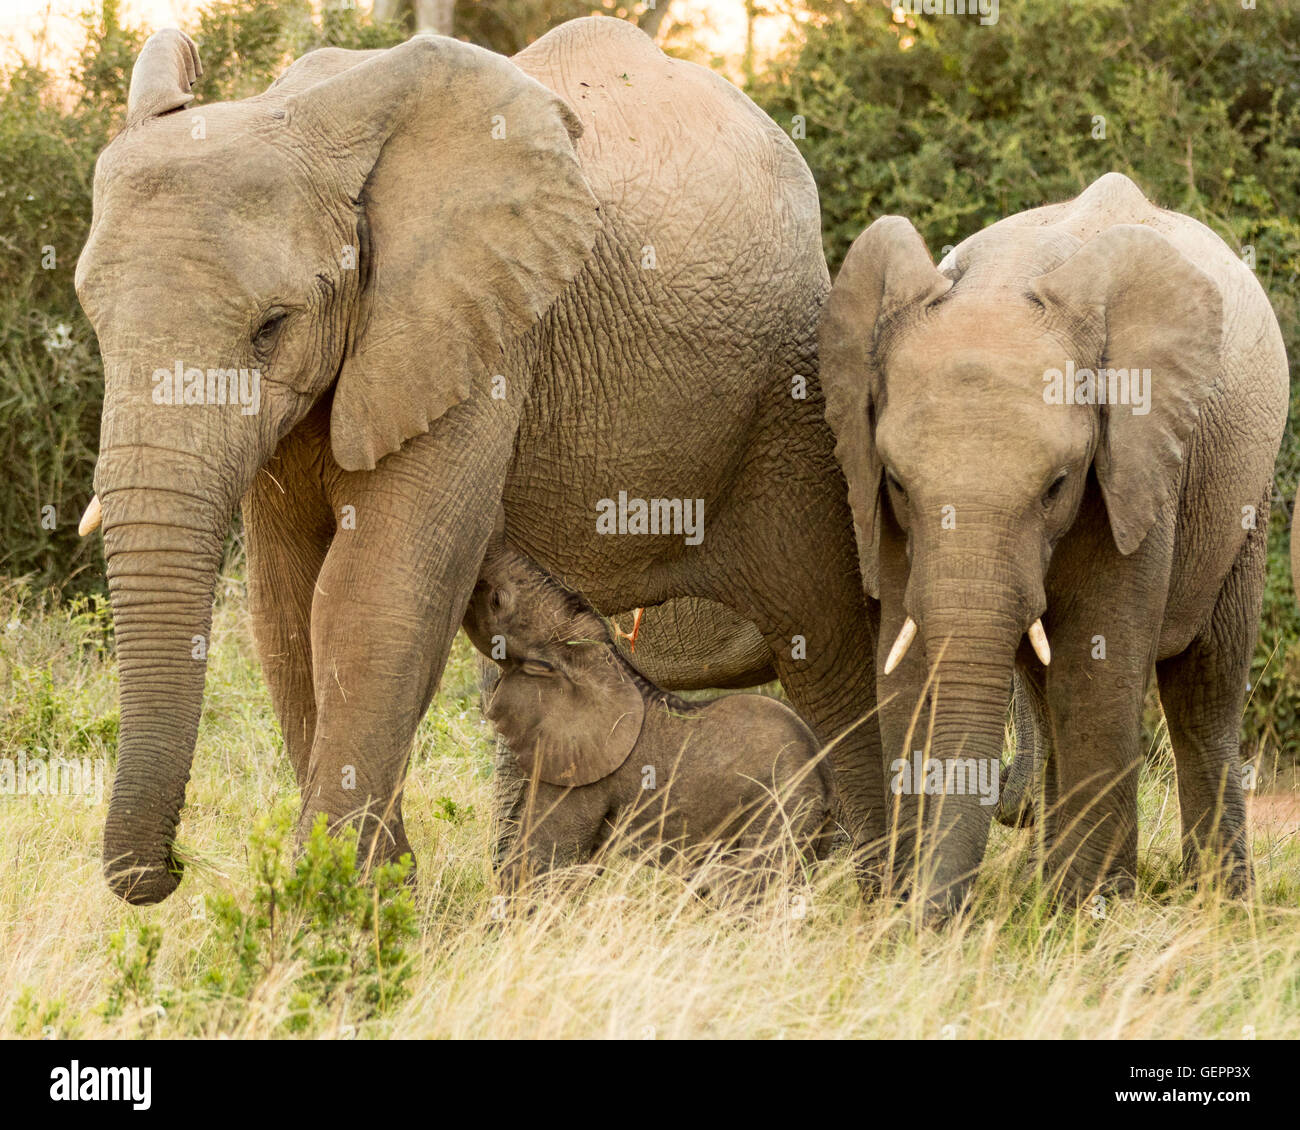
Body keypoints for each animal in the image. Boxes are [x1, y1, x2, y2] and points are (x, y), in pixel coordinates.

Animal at [820, 172, 1289, 913]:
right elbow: (907, 668)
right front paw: (909, 909)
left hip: (1246, 491)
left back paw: (1220, 906)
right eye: (895, 481)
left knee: (1204, 693)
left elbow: (1098, 672)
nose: (934, 917)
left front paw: (1087, 914)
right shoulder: (879, 503)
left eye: (1057, 486)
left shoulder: (1137, 465)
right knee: (1051, 693)